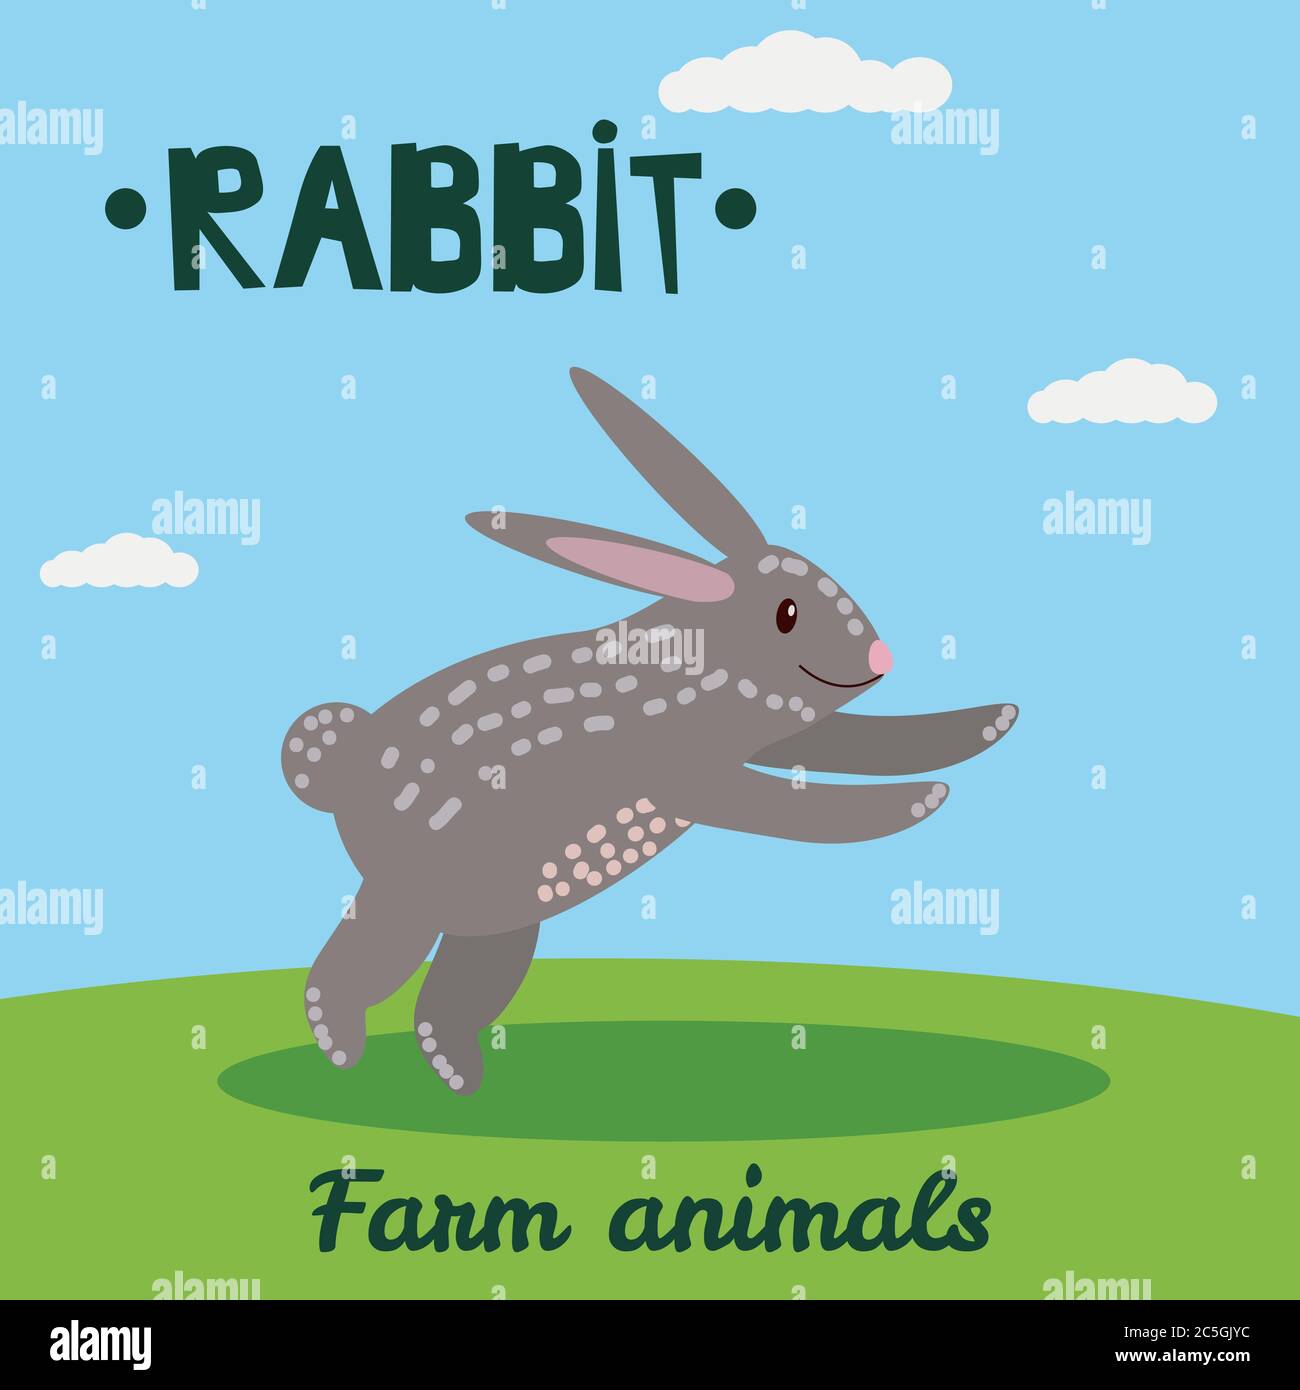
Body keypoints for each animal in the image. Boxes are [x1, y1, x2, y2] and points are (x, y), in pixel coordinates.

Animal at [282, 368, 1019, 1095]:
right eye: (787, 613)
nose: (880, 656)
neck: (702, 663)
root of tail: (338, 770)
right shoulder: (692, 777)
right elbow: (794, 806)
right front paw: (921, 800)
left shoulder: (775, 734)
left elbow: (863, 742)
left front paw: (993, 722)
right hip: (414, 893)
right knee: (367, 960)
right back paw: (340, 1047)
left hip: (497, 910)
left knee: (455, 991)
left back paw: (455, 1072)